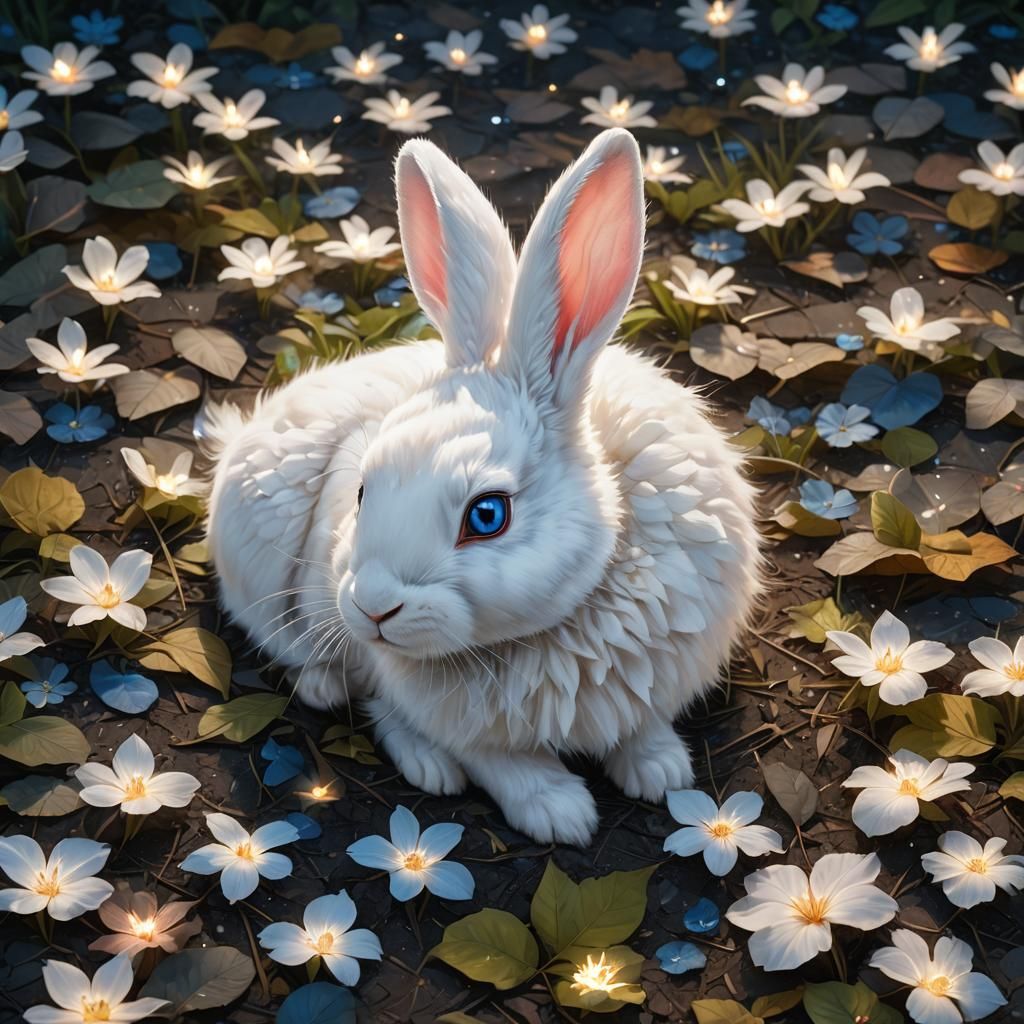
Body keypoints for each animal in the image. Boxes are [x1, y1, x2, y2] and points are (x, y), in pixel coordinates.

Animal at [205, 127, 762, 846]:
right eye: (361, 492)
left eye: (488, 515)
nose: (373, 608)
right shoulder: (462, 723)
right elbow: (499, 761)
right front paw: (561, 812)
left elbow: (640, 727)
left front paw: (662, 768)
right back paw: (408, 748)